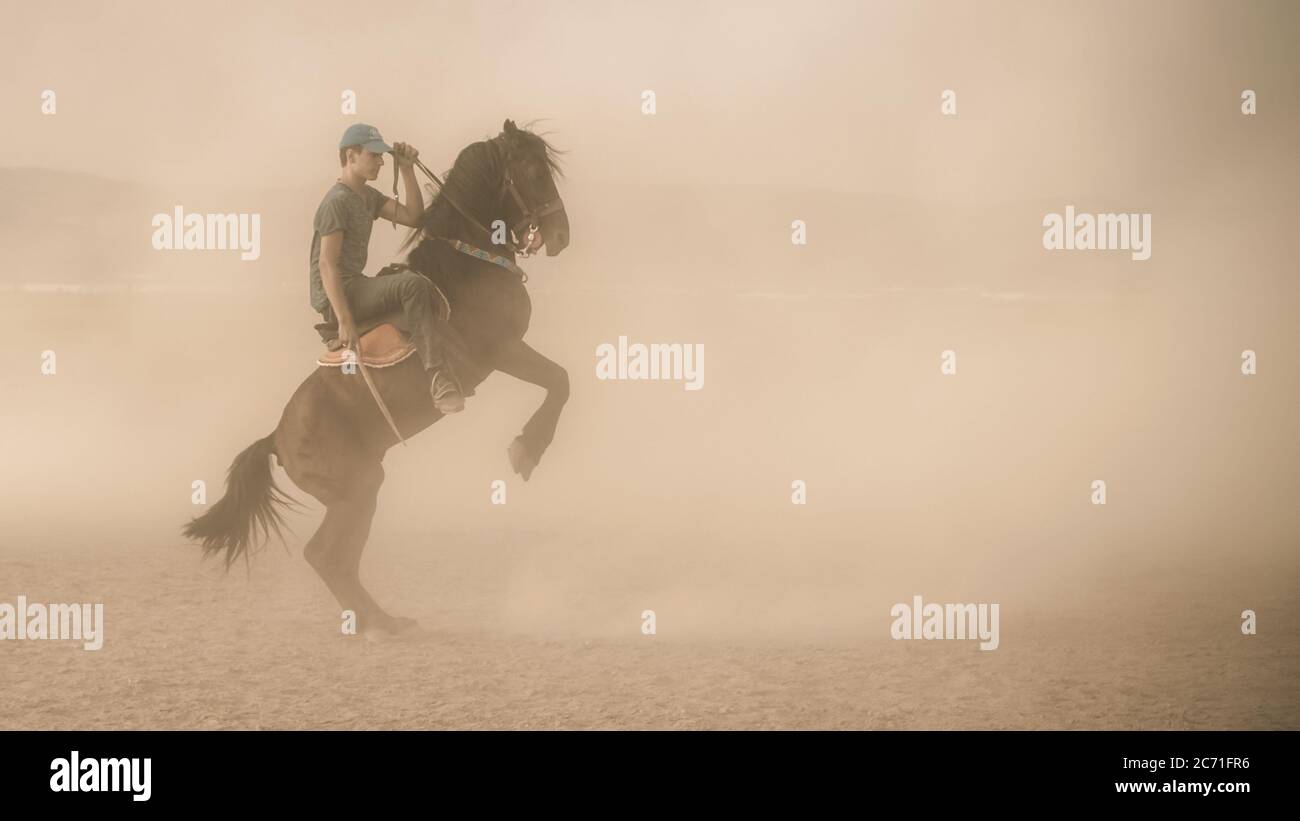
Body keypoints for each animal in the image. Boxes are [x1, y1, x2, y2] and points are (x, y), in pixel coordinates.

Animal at [182, 119, 571, 637]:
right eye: (531, 170)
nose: (561, 233)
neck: (470, 263)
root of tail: (276, 438)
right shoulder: (503, 350)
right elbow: (560, 381)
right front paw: (527, 451)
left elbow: (559, 382)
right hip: (357, 488)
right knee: (325, 555)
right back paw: (378, 624)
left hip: (361, 488)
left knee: (339, 558)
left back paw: (381, 619)